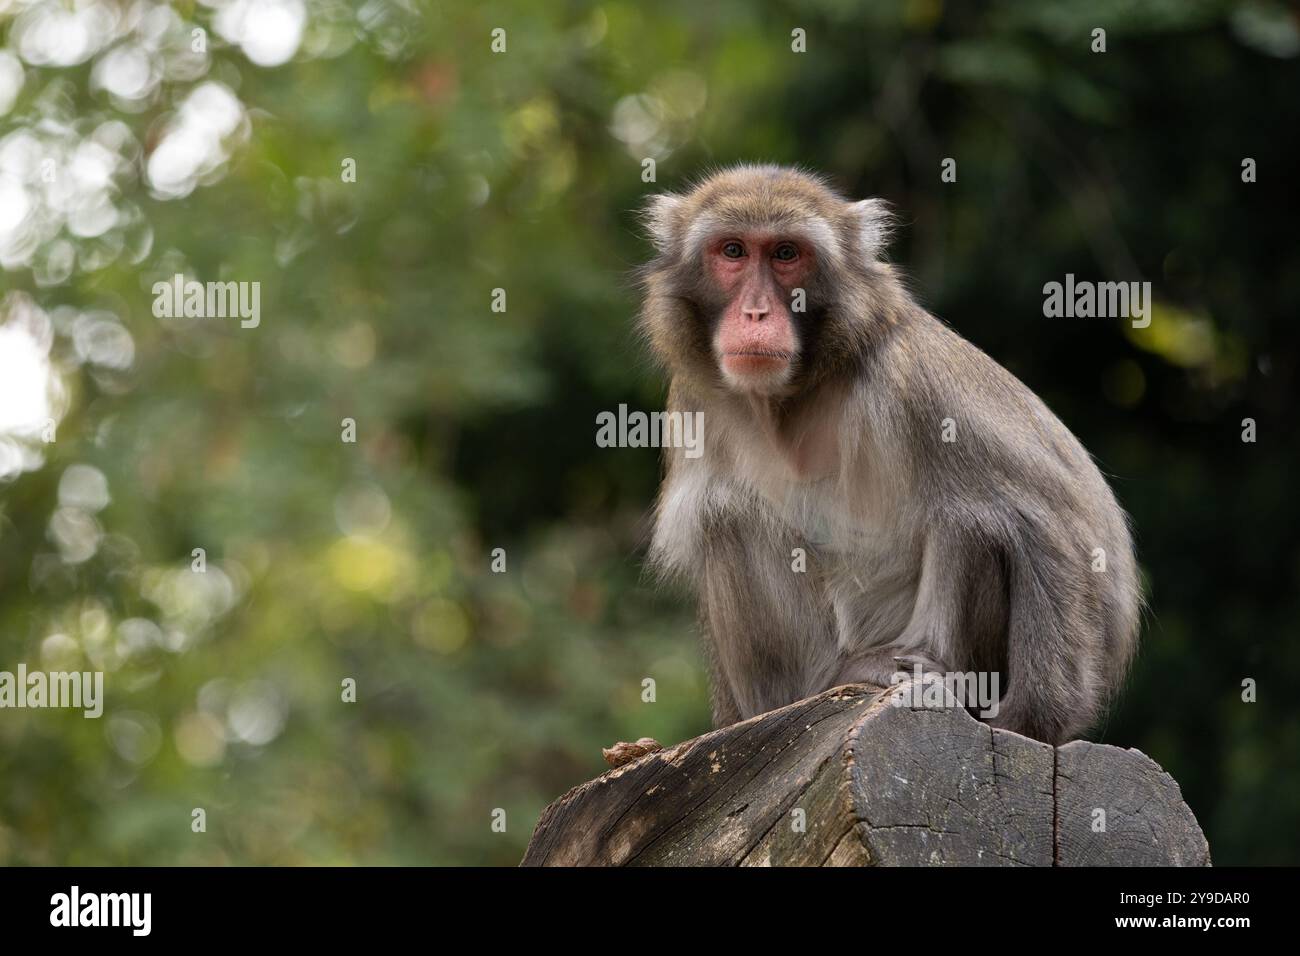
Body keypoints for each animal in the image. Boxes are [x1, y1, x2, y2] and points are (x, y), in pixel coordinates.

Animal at [636, 164, 1141, 746]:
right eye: (733, 251)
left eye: (786, 254)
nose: (756, 312)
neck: (795, 395)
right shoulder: (695, 403)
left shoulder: (910, 378)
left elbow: (1067, 526)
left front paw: (1032, 719)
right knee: (726, 514)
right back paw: (815, 686)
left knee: (975, 520)